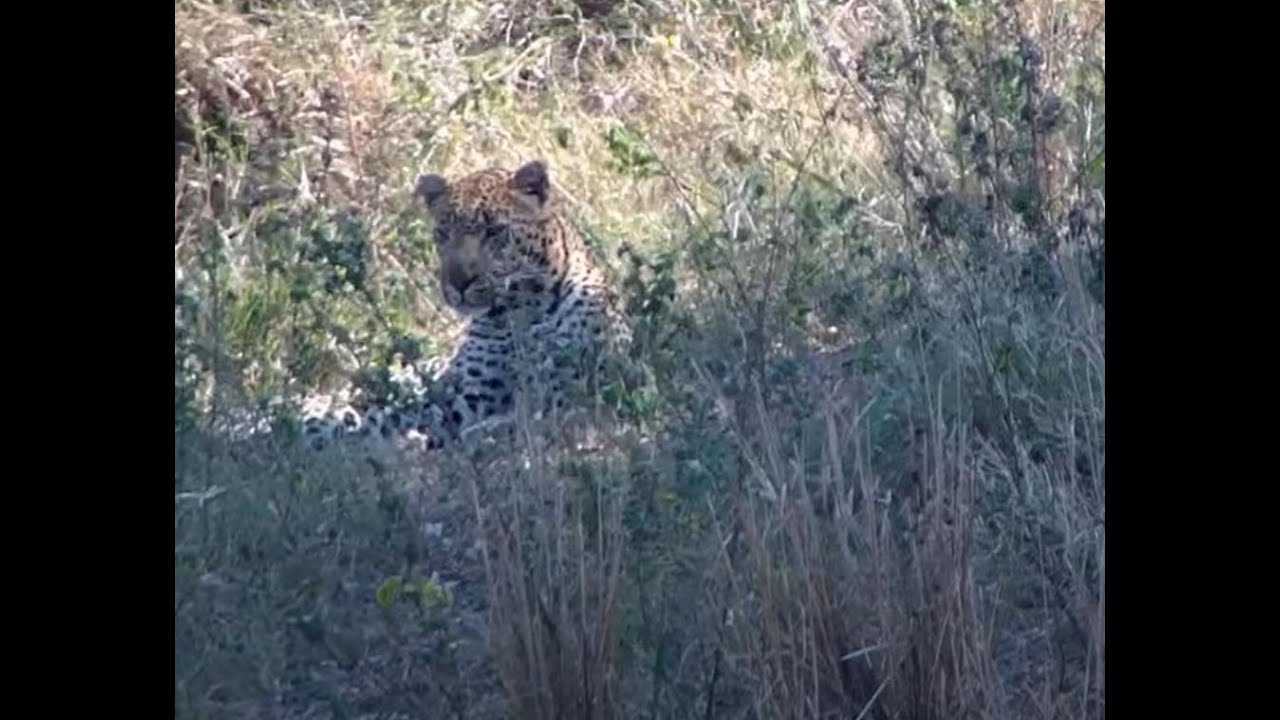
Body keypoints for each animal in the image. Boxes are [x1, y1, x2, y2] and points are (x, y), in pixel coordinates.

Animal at [294, 159, 634, 456]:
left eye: (494, 231)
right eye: (442, 233)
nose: (458, 284)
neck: (520, 310)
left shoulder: (561, 384)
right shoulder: (463, 391)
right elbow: (380, 416)